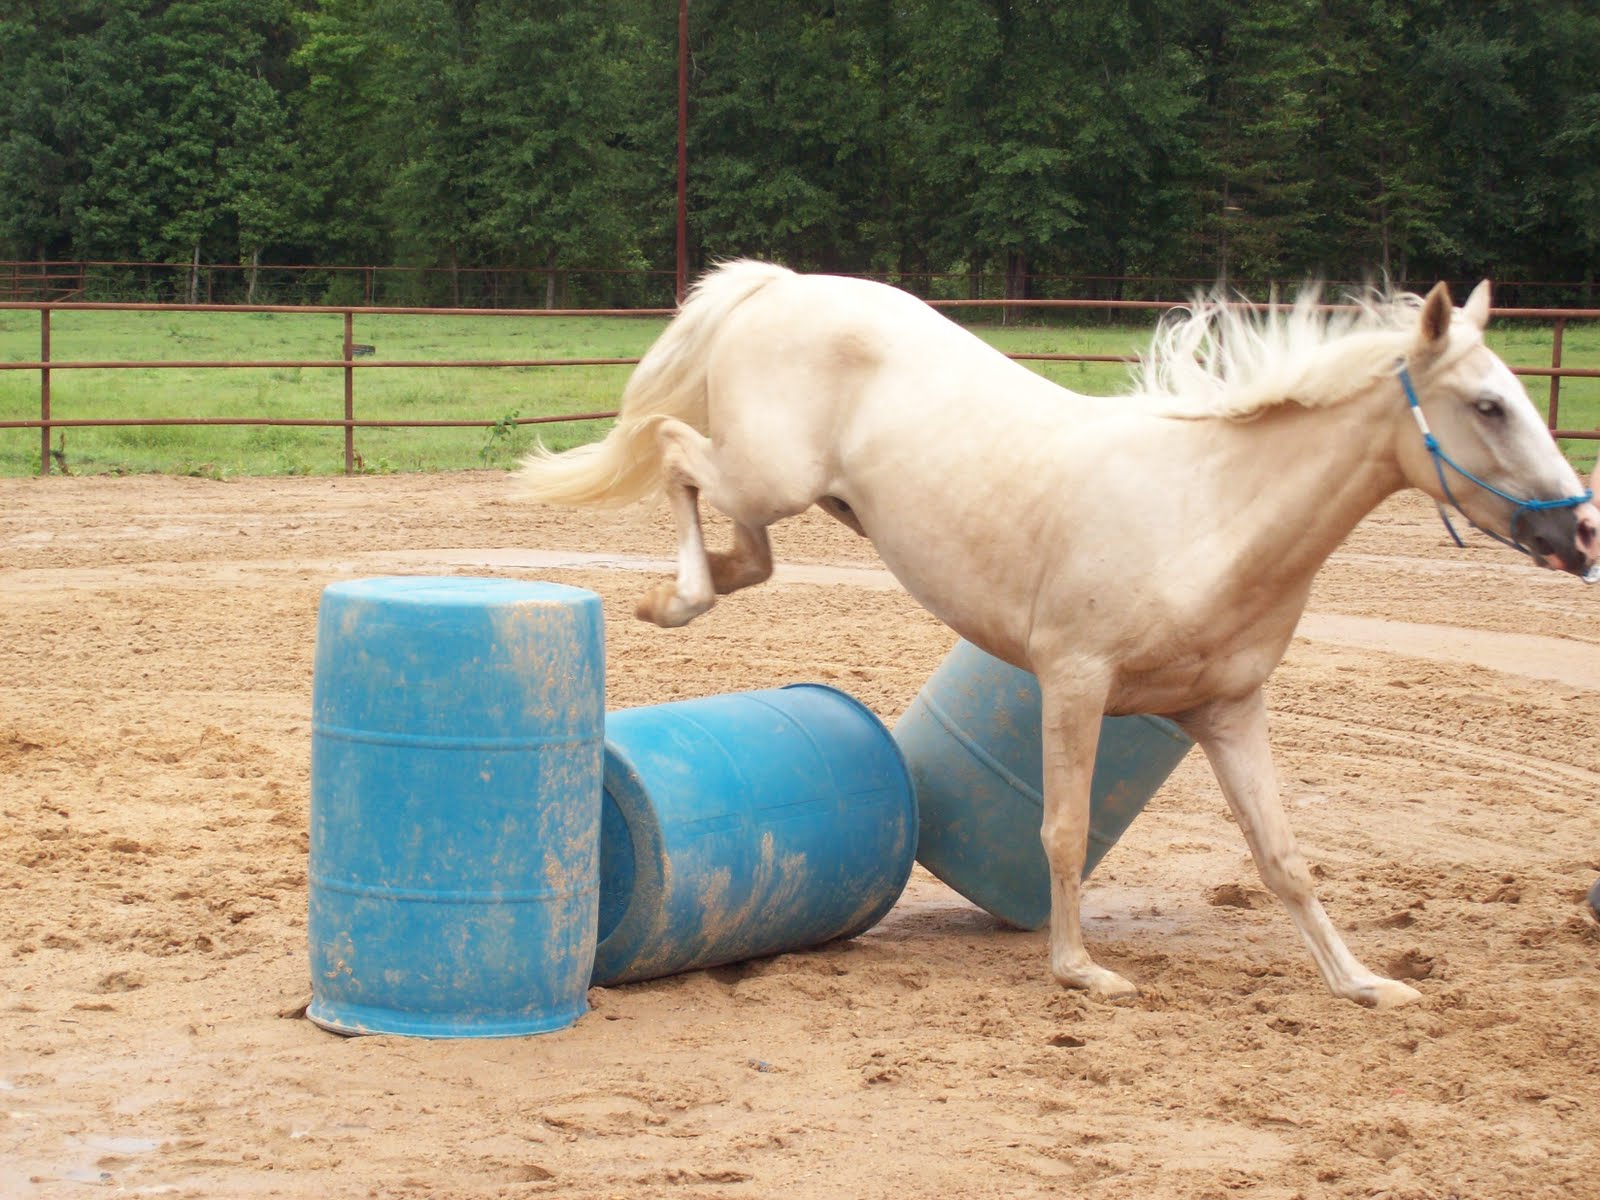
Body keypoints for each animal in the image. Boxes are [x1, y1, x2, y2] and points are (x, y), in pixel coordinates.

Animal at [513, 262, 1598, 1009]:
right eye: (1489, 404)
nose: (1581, 533)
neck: (1210, 514)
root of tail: (781, 285)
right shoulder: (1075, 681)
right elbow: (1063, 830)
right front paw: (1080, 972)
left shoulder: (1228, 711)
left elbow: (1282, 855)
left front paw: (1363, 982)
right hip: (762, 472)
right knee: (674, 452)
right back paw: (674, 601)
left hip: (787, 497)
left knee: (746, 548)